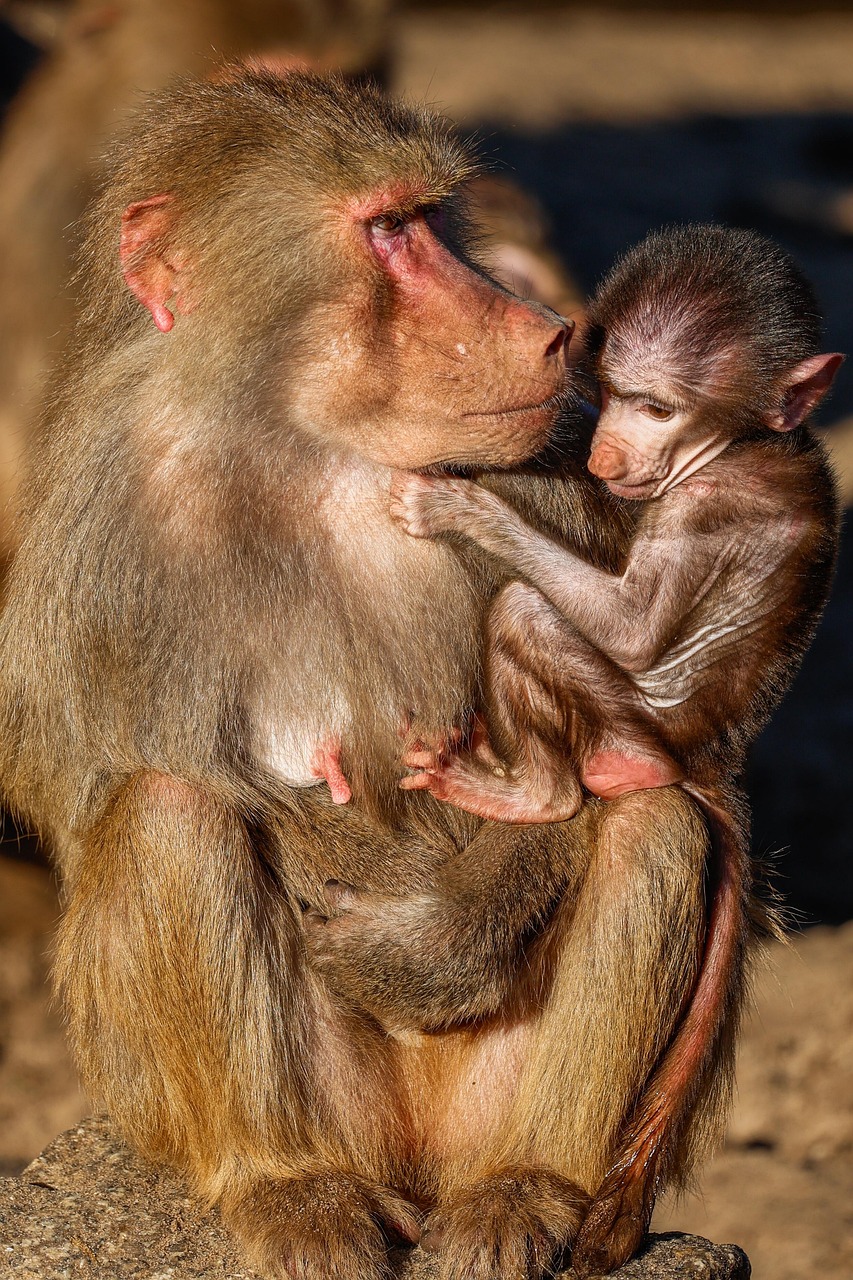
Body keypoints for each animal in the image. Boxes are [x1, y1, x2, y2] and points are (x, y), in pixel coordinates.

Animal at [0, 73, 728, 1280]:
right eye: (385, 232)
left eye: (432, 219)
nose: (550, 334)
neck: (313, 448)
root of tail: (418, 1164)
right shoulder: (98, 525)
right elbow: (87, 785)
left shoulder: (558, 477)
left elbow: (643, 760)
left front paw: (430, 944)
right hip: (301, 1114)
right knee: (168, 813)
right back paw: (289, 1186)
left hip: (484, 1103)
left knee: (655, 824)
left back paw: (527, 1188)